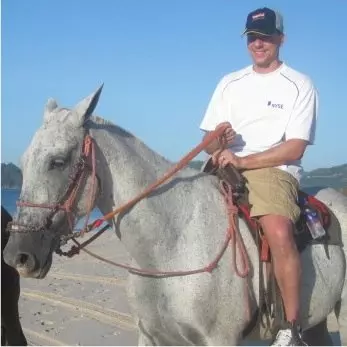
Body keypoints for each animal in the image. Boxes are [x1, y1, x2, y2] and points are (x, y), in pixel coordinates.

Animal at [3, 86, 347, 346]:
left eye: (58, 161)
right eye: (23, 159)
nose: (18, 255)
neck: (170, 245)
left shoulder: (220, 340)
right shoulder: (152, 337)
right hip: (316, 322)